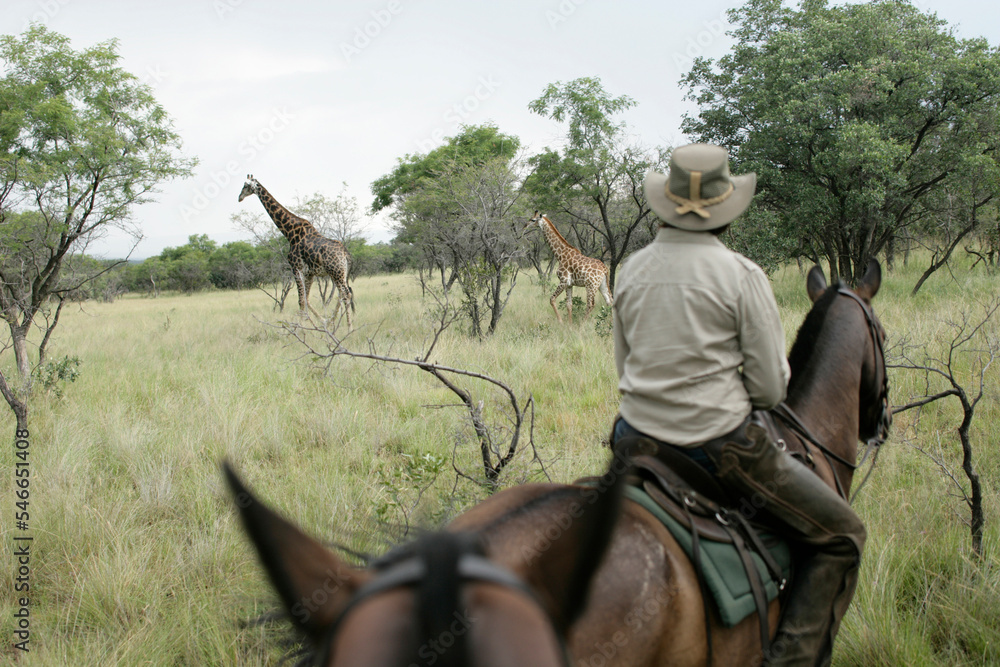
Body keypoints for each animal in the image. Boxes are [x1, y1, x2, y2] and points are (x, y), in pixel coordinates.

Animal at [238, 175, 353, 329]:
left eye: (245, 185)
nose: (239, 197)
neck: (290, 232)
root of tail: (346, 254)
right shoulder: (310, 273)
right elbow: (306, 299)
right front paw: (320, 321)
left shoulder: (296, 267)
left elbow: (301, 300)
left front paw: (301, 326)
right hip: (340, 273)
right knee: (342, 294)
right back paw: (334, 321)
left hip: (336, 272)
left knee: (346, 294)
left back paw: (349, 326)